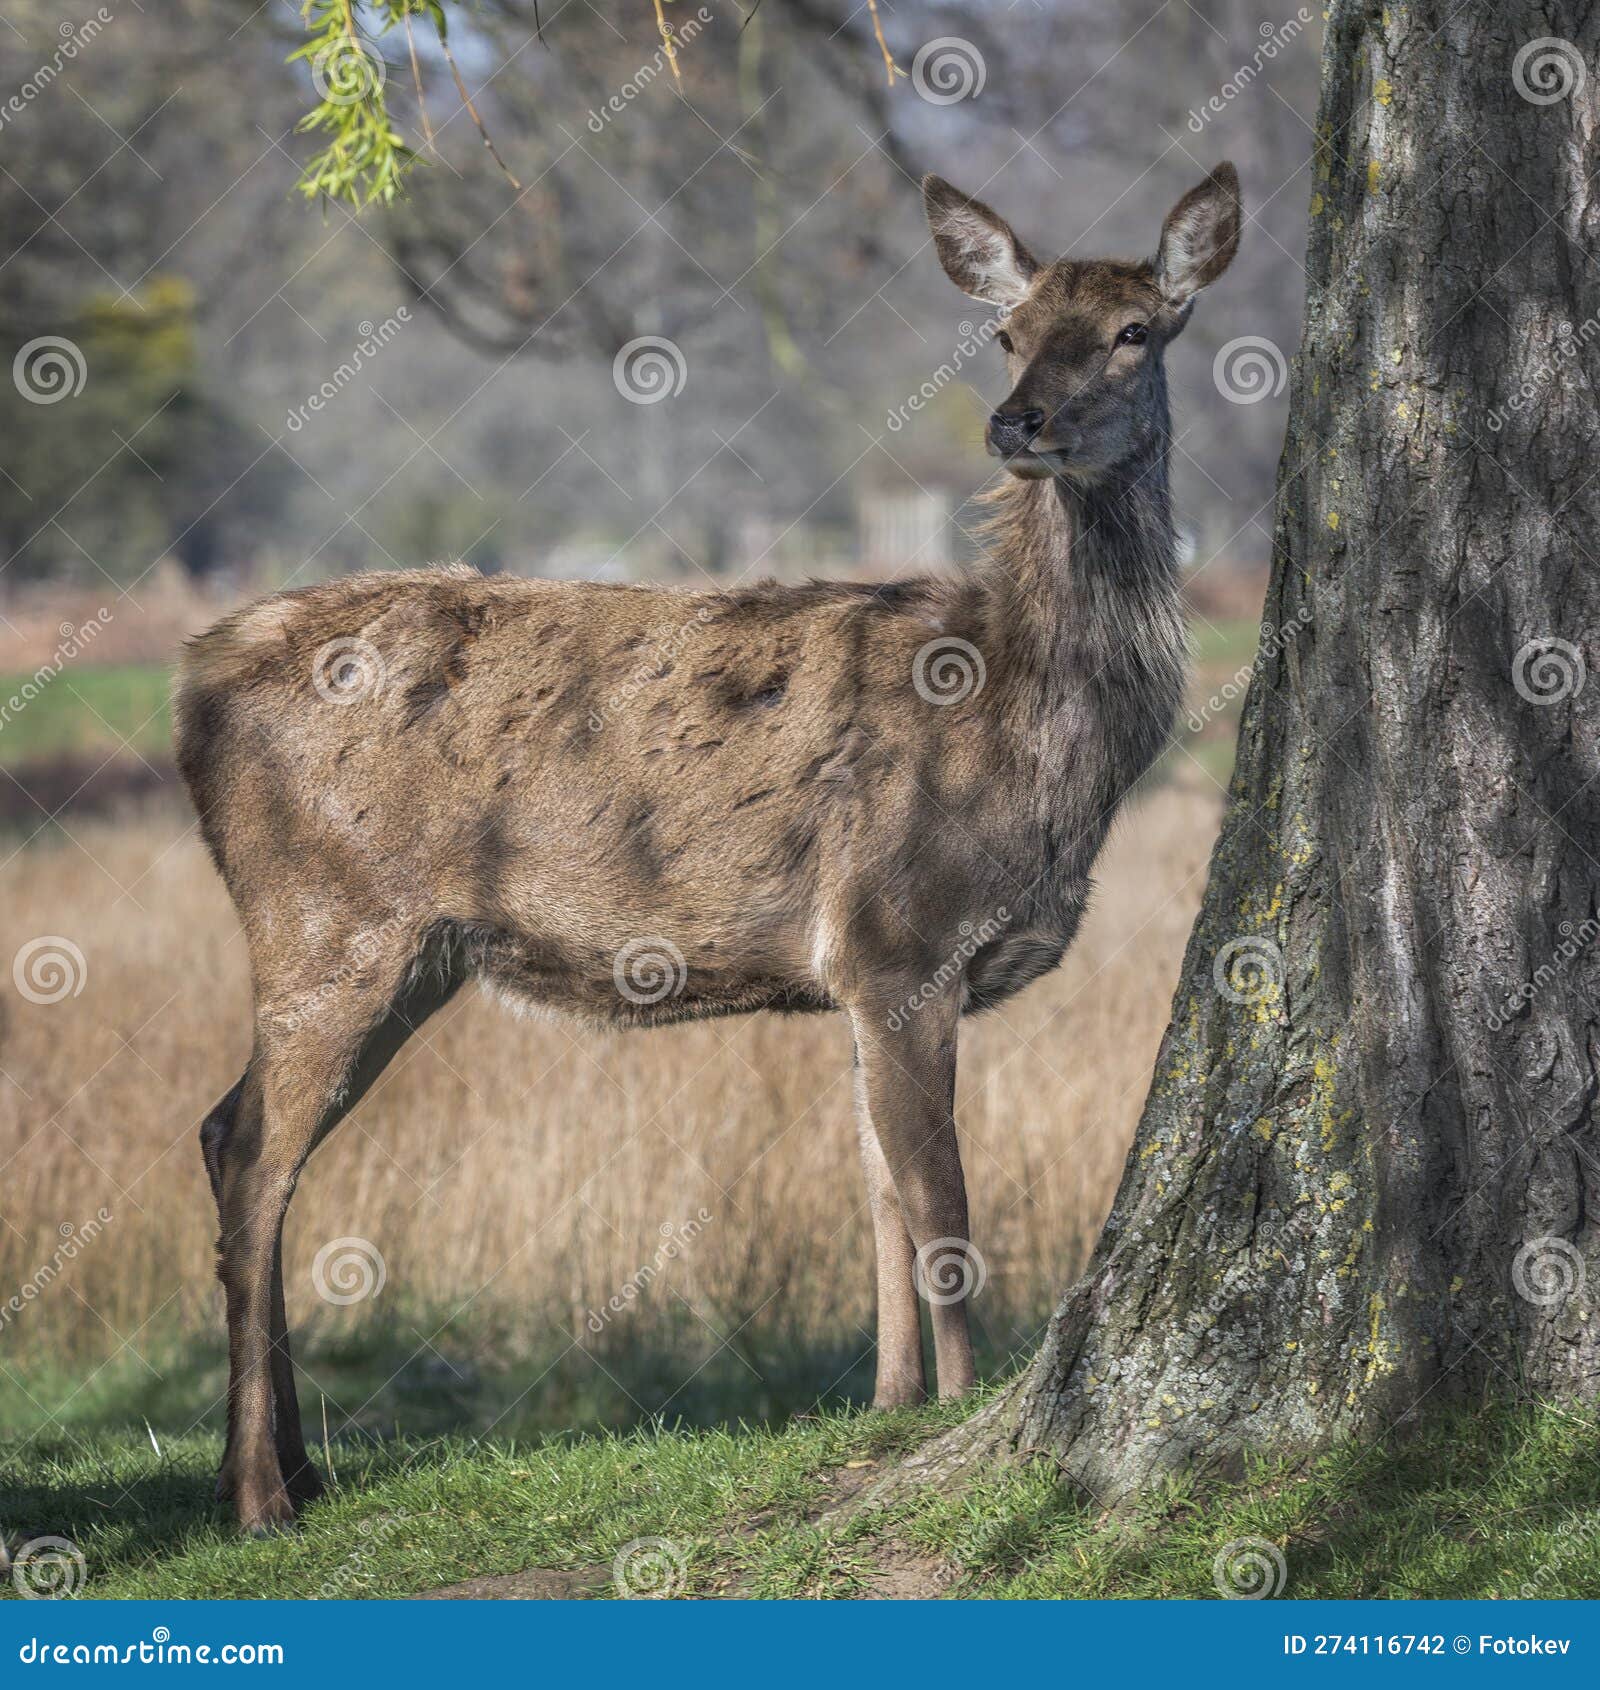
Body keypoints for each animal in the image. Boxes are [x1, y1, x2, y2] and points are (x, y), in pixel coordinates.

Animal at [175, 162, 1241, 1533]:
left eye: (1133, 330)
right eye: (1006, 335)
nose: (1022, 423)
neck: (1034, 728)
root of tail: (190, 689)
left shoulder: (865, 977)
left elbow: (878, 1191)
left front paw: (892, 1403)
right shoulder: (900, 935)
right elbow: (942, 1202)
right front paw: (956, 1405)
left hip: (408, 952)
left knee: (228, 1132)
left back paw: (293, 1466)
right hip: (328, 914)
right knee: (258, 1154)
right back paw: (259, 1493)